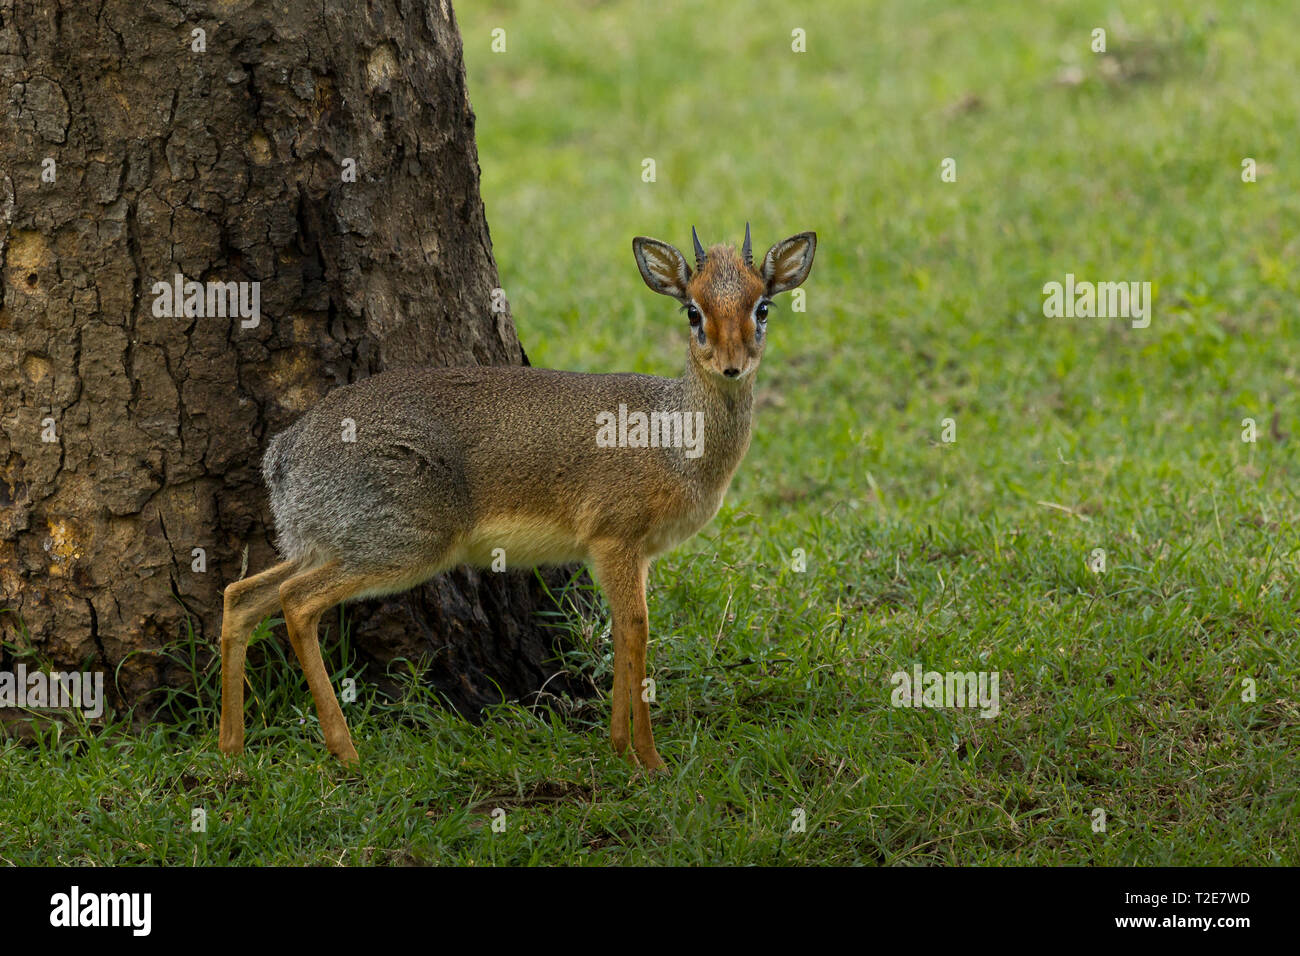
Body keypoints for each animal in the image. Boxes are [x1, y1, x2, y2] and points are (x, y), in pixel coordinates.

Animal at [218, 225, 816, 769]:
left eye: (763, 306)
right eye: (693, 311)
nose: (732, 364)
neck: (671, 439)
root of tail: (283, 453)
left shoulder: (630, 553)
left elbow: (624, 632)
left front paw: (619, 747)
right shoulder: (615, 542)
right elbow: (637, 629)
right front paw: (650, 761)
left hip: (324, 546)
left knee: (241, 595)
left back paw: (232, 749)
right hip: (397, 548)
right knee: (296, 603)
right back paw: (344, 752)